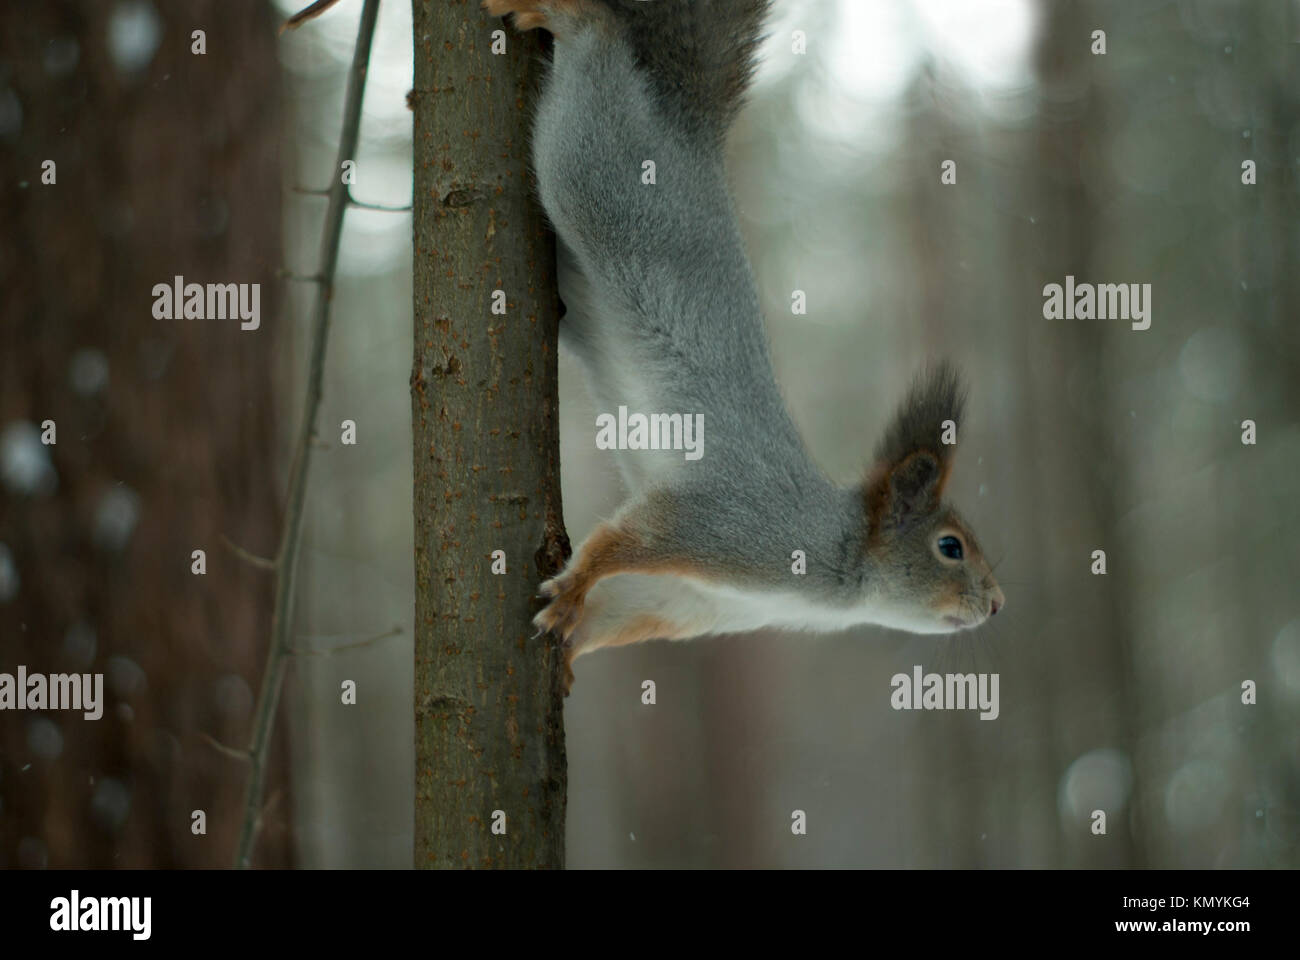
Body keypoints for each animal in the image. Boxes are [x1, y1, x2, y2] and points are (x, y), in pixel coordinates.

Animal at [483, 0, 1005, 693]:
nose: (998, 603)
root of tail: (688, 138)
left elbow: (618, 608)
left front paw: (571, 636)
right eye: (950, 547)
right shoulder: (732, 526)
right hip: (595, 172)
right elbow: (635, 537)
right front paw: (576, 585)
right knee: (595, 66)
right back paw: (572, 18)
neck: (840, 561)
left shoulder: (694, 601)